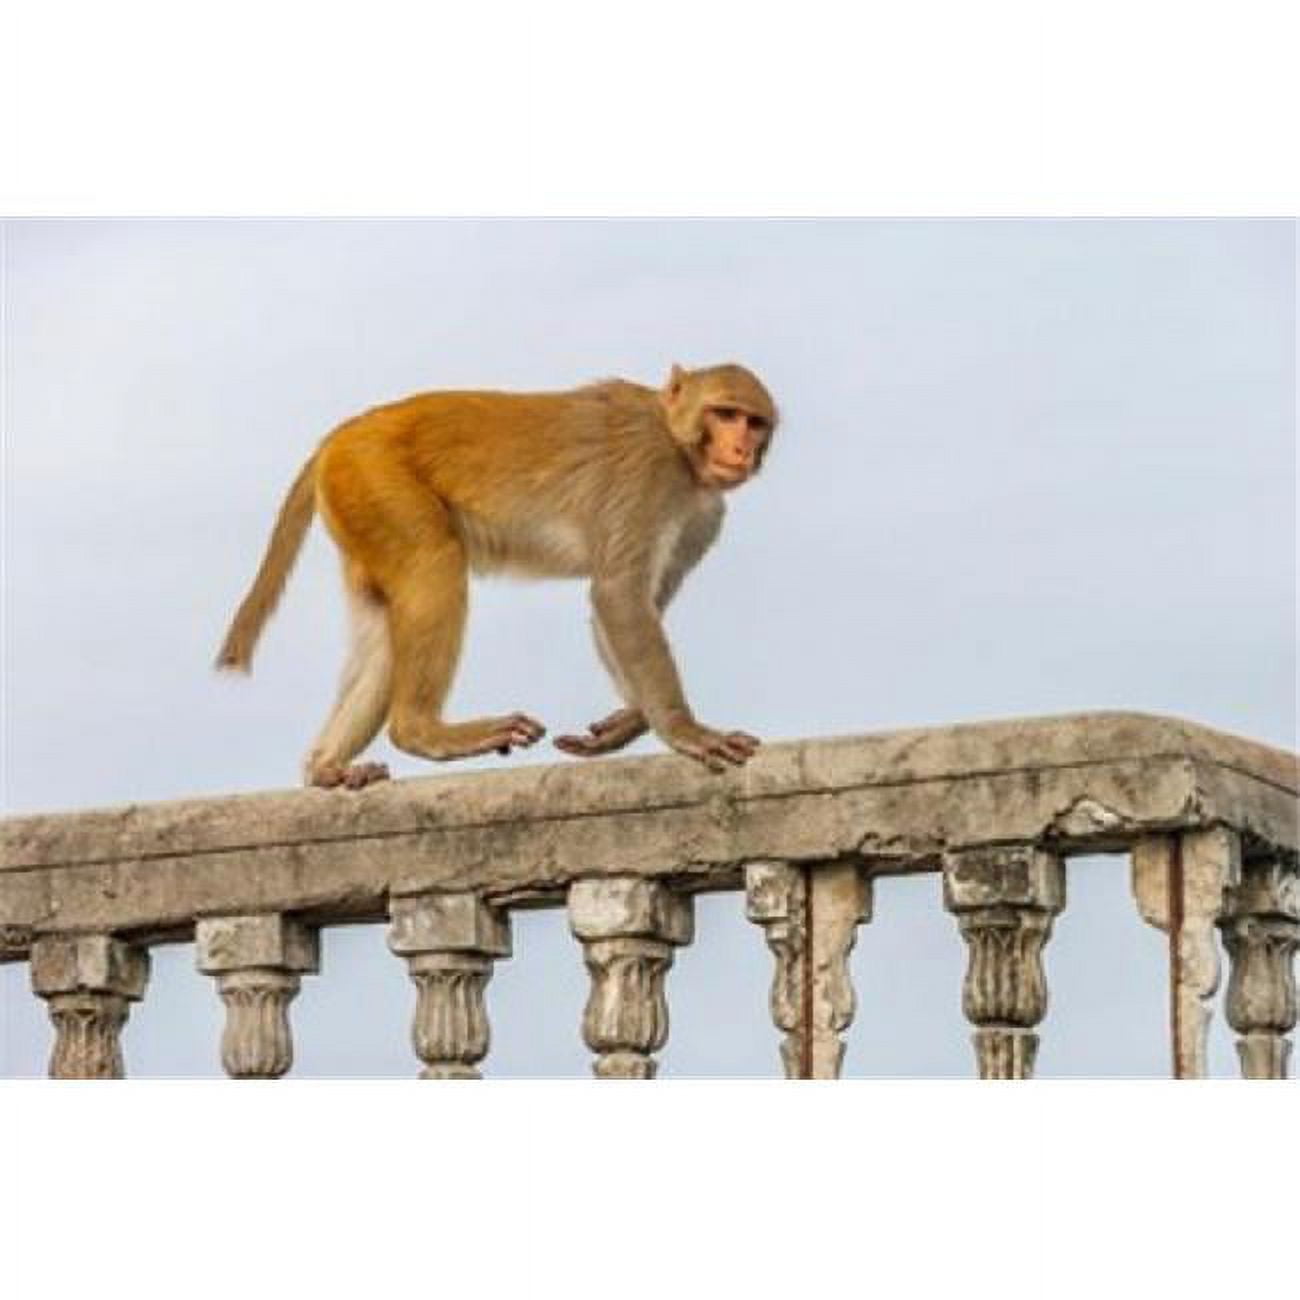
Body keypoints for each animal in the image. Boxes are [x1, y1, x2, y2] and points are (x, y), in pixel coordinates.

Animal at [215, 362, 778, 789]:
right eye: (724, 413)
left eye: (754, 423)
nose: (741, 449)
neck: (679, 445)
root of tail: (340, 436)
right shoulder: (649, 475)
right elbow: (619, 596)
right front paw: (684, 729)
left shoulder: (701, 518)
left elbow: (629, 606)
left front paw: (628, 721)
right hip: (377, 481)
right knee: (435, 564)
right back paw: (424, 732)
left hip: (358, 508)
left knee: (384, 625)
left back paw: (326, 768)